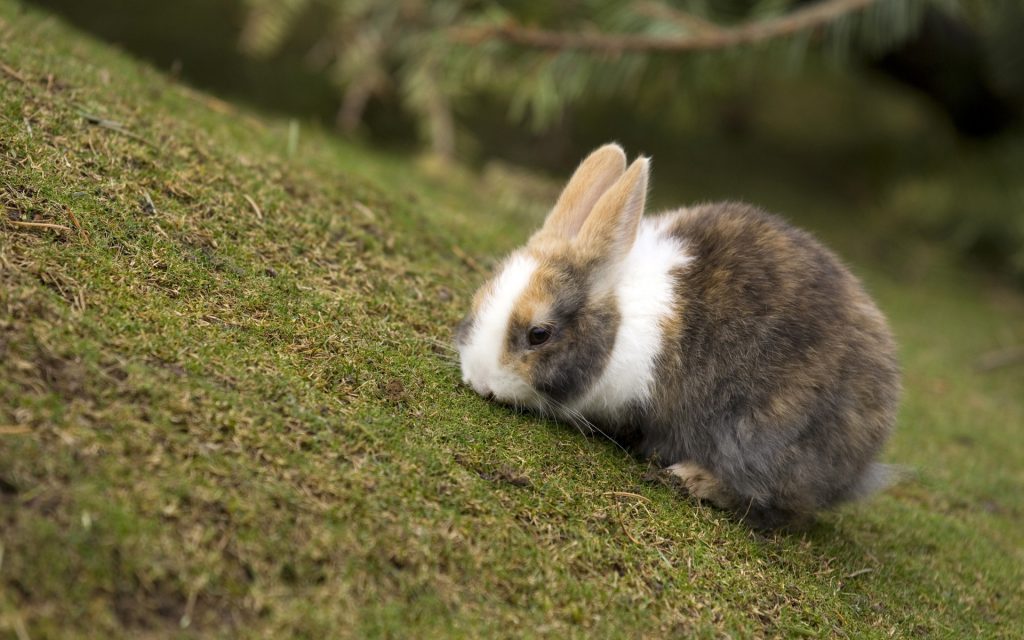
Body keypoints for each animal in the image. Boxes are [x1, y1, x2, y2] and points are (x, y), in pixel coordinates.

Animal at [455, 143, 901, 528]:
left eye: (539, 334)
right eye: (479, 297)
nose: (480, 382)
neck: (617, 320)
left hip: (762, 438)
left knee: (777, 505)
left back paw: (692, 478)